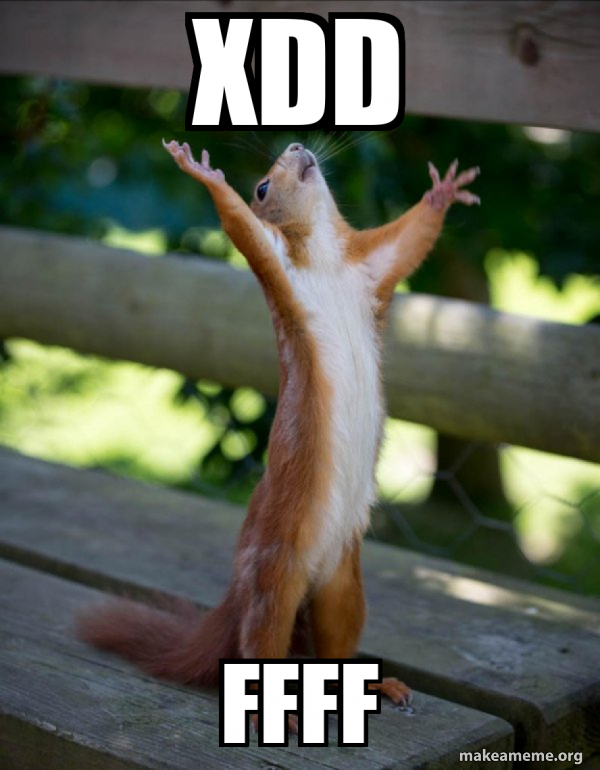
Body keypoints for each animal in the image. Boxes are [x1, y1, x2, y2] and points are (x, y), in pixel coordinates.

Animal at [77, 138, 479, 733]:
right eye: (262, 187)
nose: (295, 145)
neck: (327, 258)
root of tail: (239, 591)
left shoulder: (372, 267)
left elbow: (409, 240)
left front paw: (443, 192)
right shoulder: (278, 266)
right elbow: (241, 226)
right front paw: (204, 173)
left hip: (343, 588)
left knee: (335, 646)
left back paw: (375, 685)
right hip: (274, 577)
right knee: (259, 646)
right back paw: (280, 712)